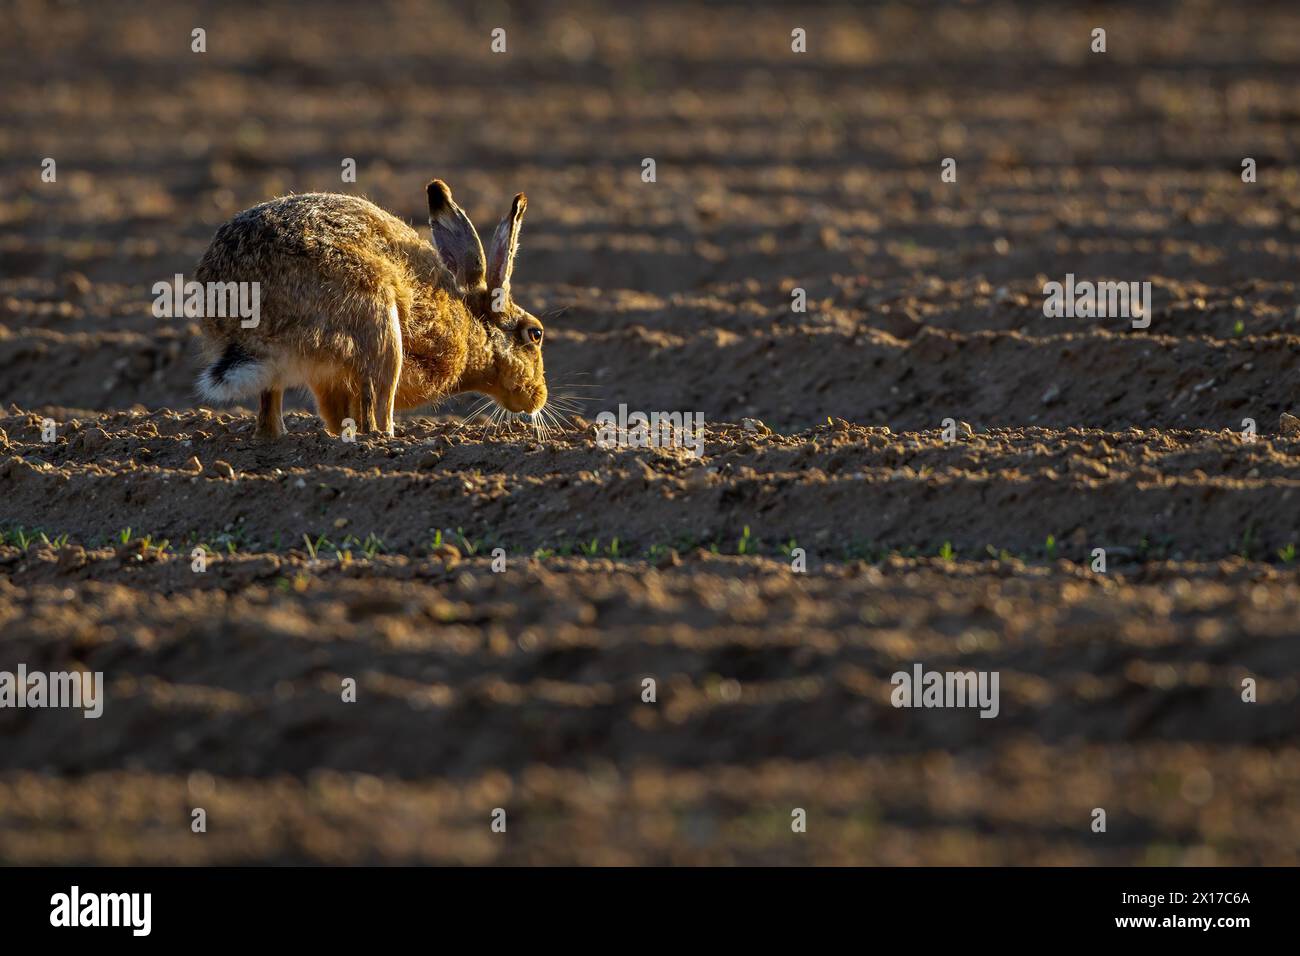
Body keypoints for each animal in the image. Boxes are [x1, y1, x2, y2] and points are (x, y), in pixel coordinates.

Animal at [194, 180, 546, 439]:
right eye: (536, 333)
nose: (538, 397)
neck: (474, 327)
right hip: (381, 328)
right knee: (376, 407)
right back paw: (386, 439)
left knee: (270, 410)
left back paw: (277, 438)